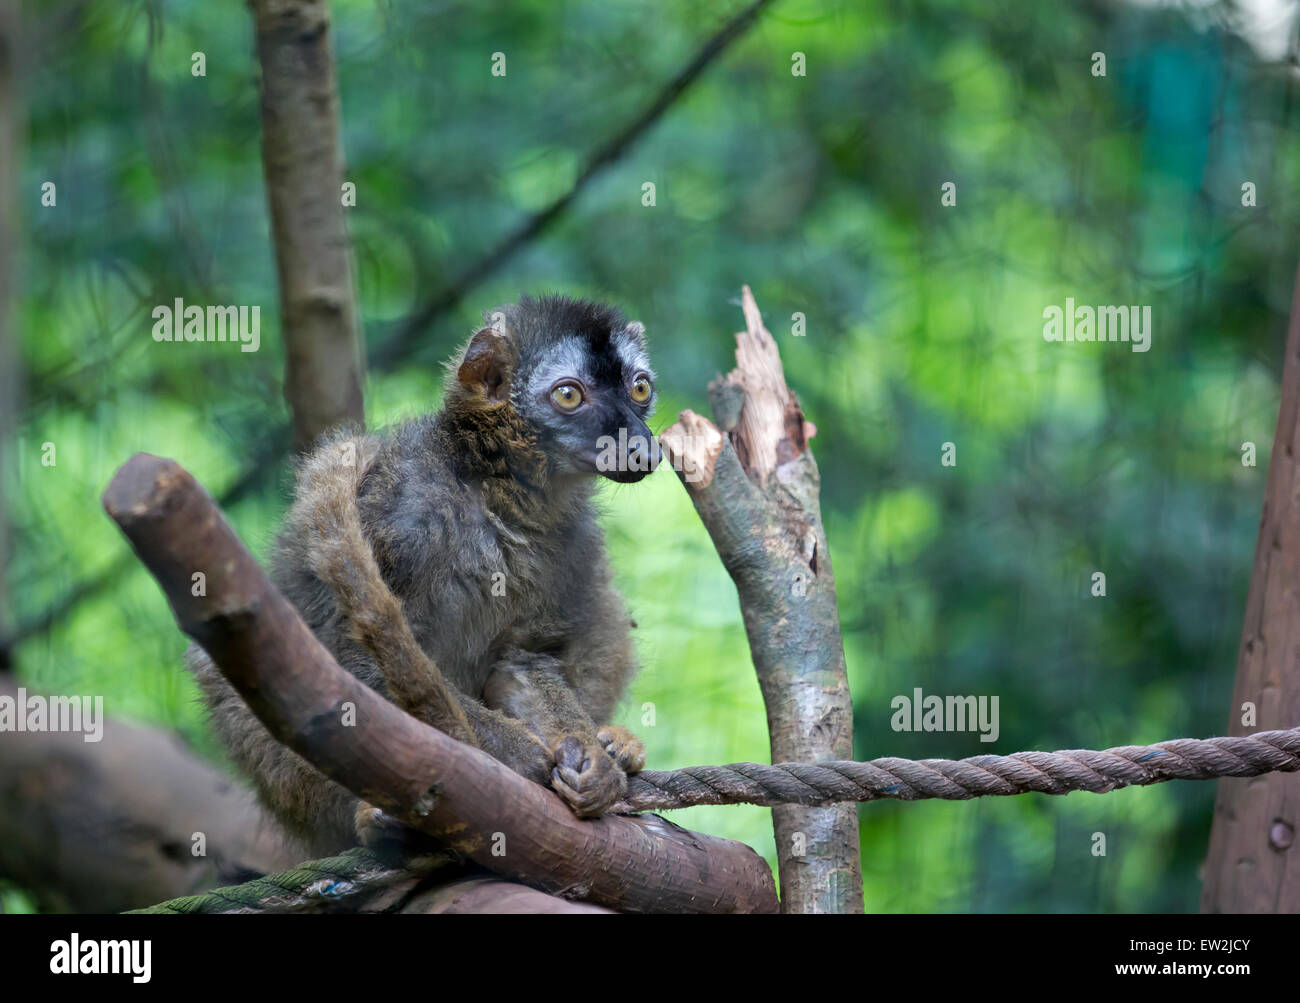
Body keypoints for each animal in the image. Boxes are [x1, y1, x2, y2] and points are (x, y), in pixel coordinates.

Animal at [186, 295, 660, 859]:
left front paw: (591, 758)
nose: (641, 446)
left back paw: (615, 744)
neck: (497, 490)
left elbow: (524, 660)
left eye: (639, 389)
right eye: (569, 395)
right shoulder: (400, 514)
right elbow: (349, 665)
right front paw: (519, 755)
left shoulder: (573, 542)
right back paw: (383, 823)